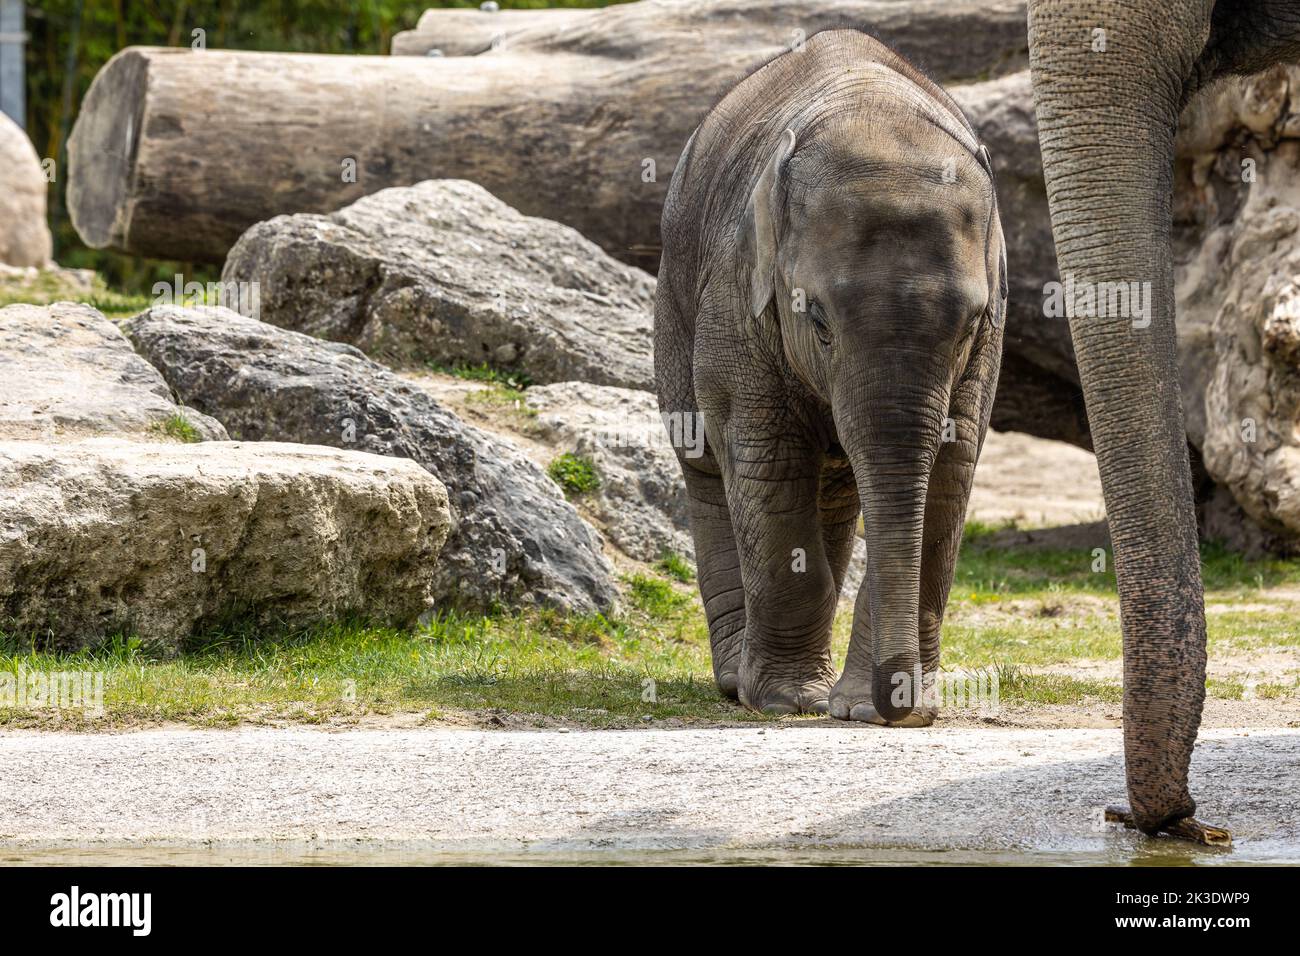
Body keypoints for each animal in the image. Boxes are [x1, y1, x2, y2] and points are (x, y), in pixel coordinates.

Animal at [655, 30, 1007, 723]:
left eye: (968, 326)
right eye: (816, 319)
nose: (900, 707)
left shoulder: (991, 338)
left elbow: (952, 468)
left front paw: (868, 708)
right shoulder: (738, 301)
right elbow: (765, 454)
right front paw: (787, 701)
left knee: (838, 488)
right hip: (676, 305)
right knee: (705, 465)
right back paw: (737, 682)